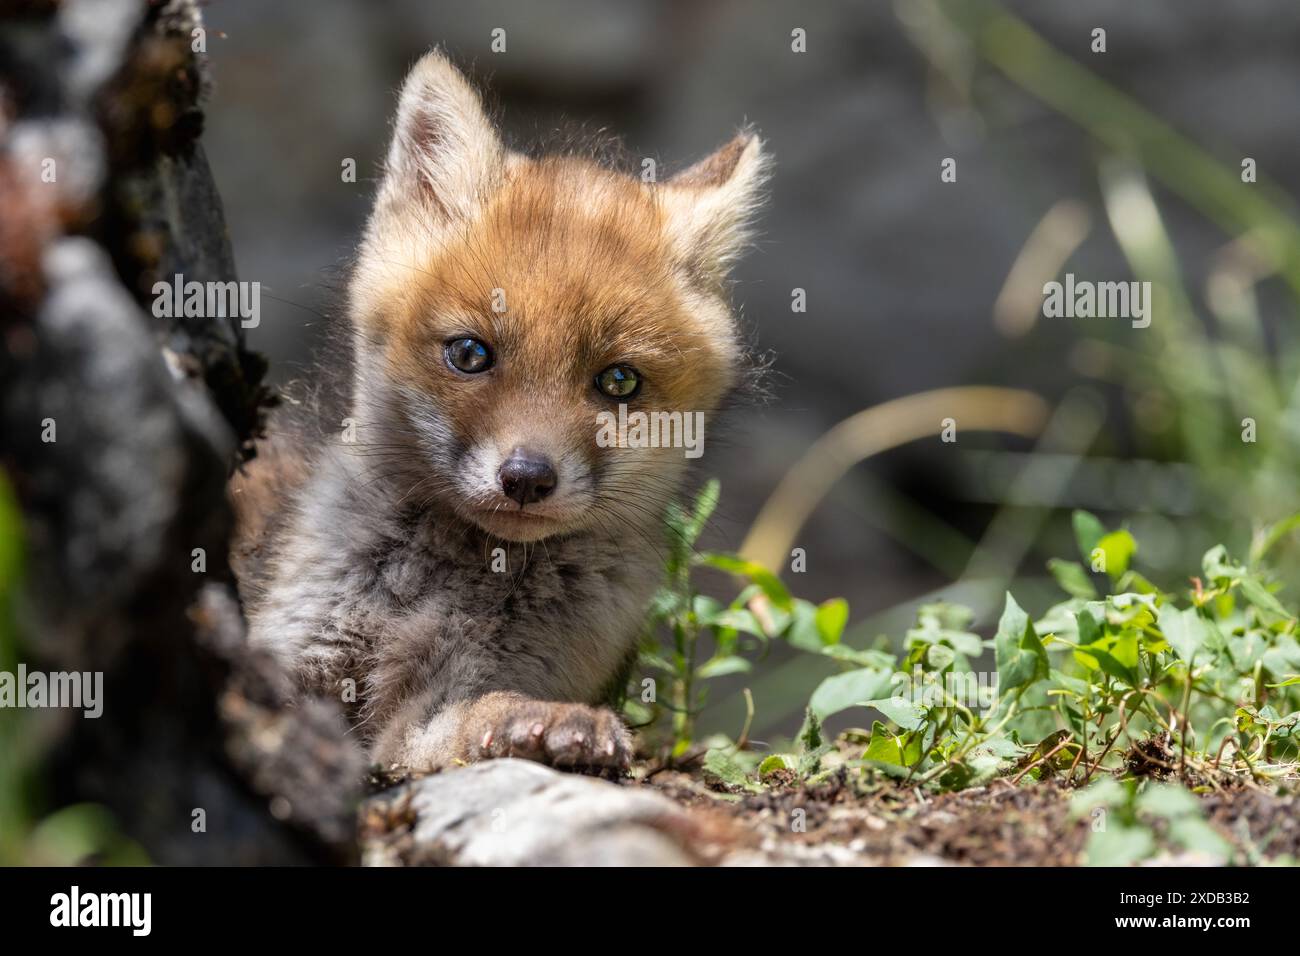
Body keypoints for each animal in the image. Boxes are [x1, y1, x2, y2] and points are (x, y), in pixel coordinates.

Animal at [231, 51, 769, 773]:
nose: (527, 479)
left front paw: (547, 725)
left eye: (619, 381)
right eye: (469, 353)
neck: (440, 587)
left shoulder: (447, 699)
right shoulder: (298, 653)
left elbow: (475, 717)